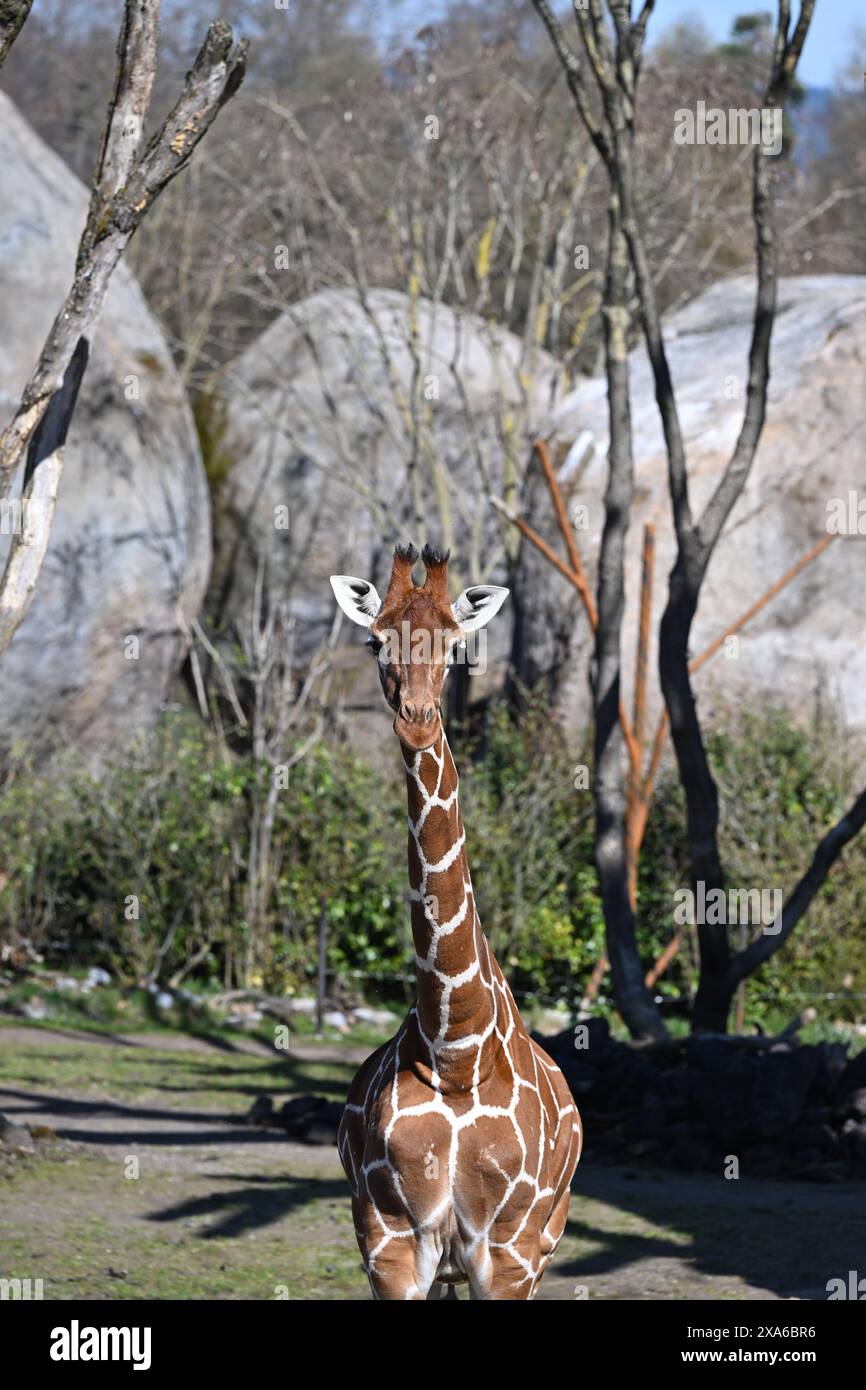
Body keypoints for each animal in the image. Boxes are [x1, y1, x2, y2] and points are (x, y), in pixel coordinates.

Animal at [329, 544, 582, 1300]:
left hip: (545, 1238)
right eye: (376, 639)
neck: (456, 1049)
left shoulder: (509, 1253)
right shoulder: (389, 1244)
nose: (415, 715)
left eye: (456, 644)